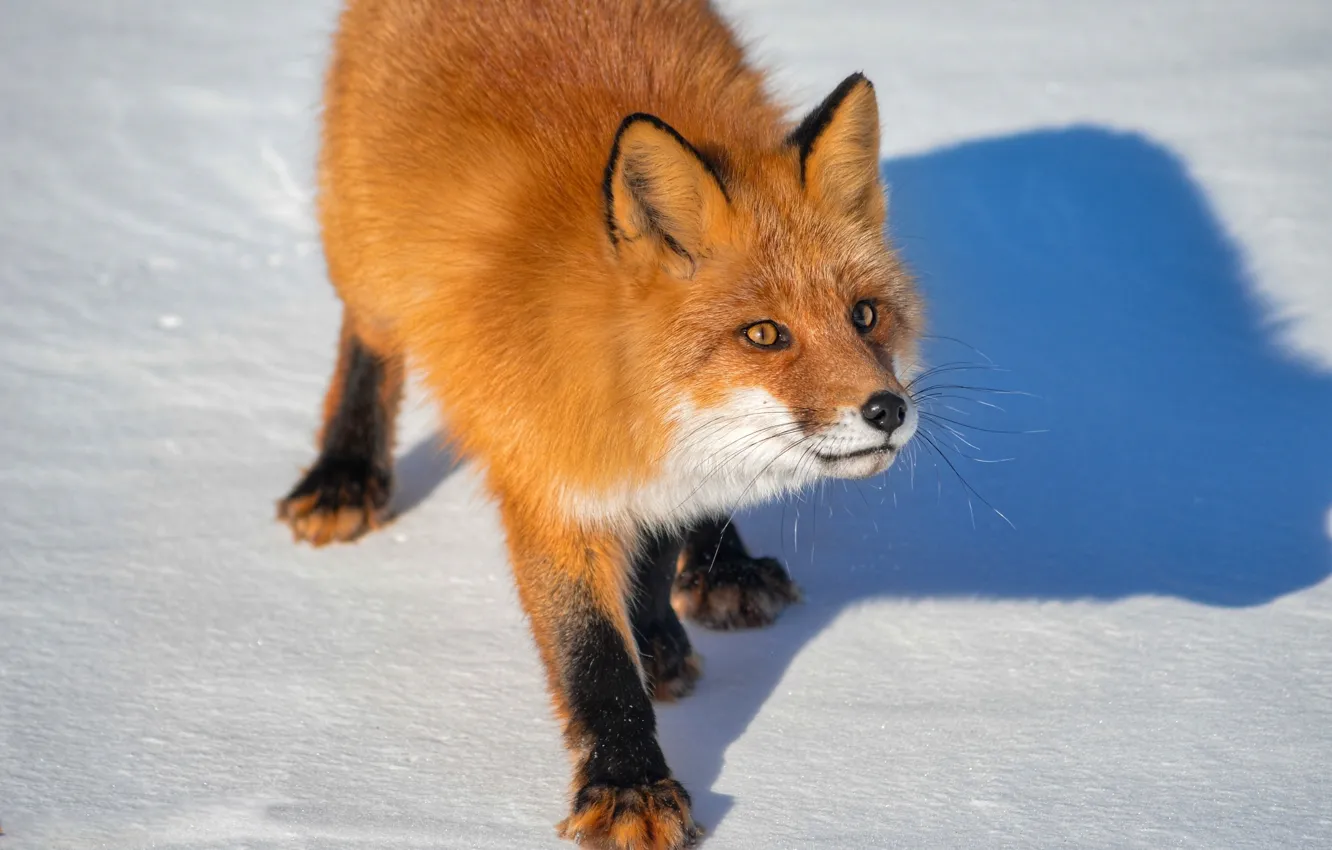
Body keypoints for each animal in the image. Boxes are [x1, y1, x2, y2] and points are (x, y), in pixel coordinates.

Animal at [276, 0, 923, 846]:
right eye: (764, 334)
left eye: (865, 316)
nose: (887, 410)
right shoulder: (547, 479)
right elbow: (593, 660)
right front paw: (629, 786)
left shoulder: (650, 477)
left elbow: (654, 557)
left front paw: (655, 634)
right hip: (368, 249)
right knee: (367, 338)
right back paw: (345, 472)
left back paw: (720, 566)